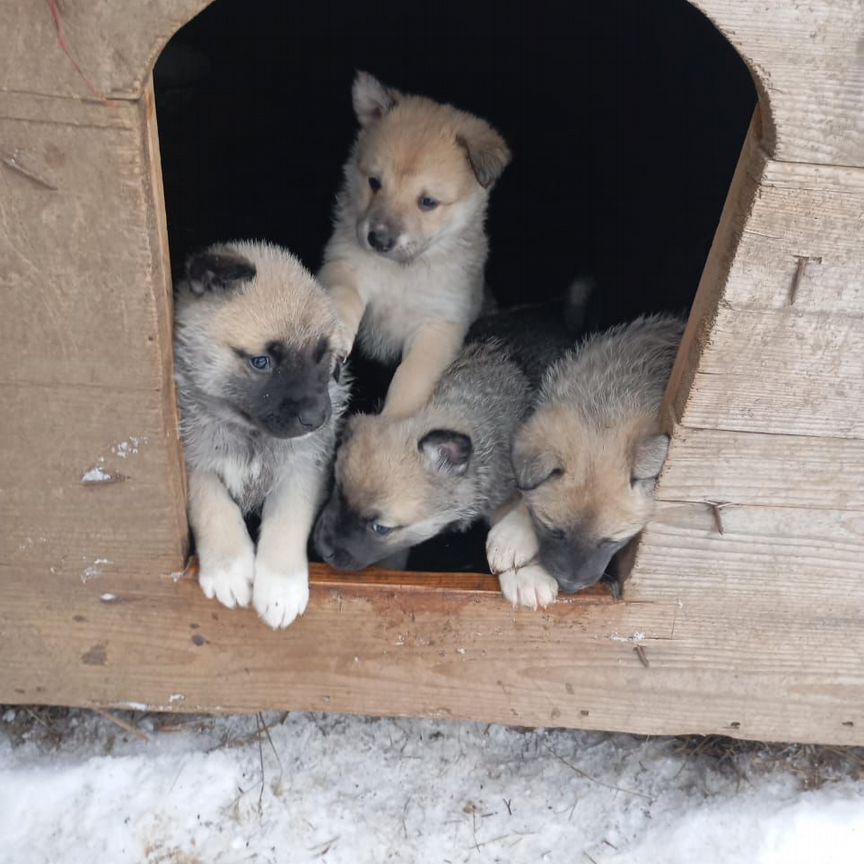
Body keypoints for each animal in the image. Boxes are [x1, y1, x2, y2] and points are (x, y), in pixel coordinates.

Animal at [174, 240, 350, 632]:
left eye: (322, 357)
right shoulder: (193, 462)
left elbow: (288, 518)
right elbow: (211, 504)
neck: (249, 432)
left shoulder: (304, 466)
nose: (316, 419)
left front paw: (280, 588)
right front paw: (228, 569)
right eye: (261, 362)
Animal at [318, 72, 510, 416]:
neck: (402, 270)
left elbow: (409, 379)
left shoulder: (437, 327)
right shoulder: (344, 265)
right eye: (375, 182)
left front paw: (393, 419)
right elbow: (344, 296)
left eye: (428, 202)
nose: (378, 239)